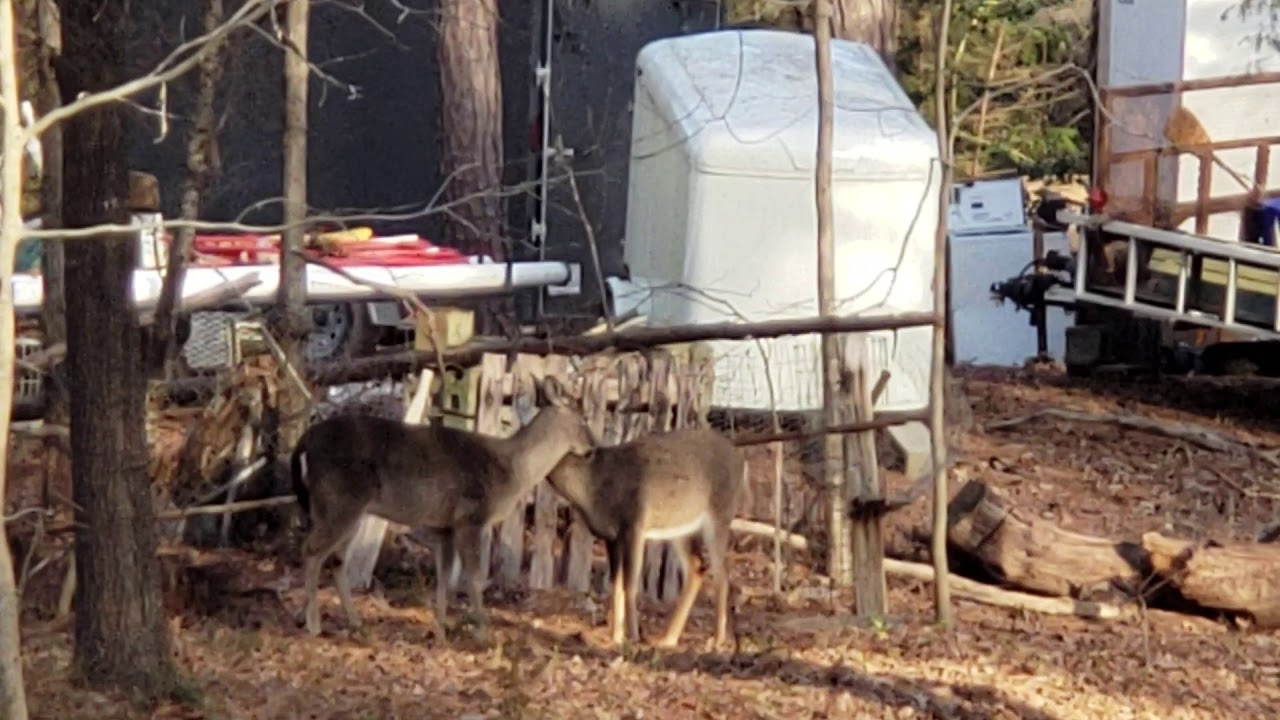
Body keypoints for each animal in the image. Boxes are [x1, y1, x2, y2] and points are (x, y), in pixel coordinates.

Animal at [291, 375, 595, 636]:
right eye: (583, 419)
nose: (592, 448)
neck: (511, 471)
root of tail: (304, 443)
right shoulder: (470, 517)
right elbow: (474, 577)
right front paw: (483, 630)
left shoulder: (444, 525)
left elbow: (444, 576)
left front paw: (441, 627)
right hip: (338, 501)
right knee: (310, 551)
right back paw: (313, 624)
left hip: (349, 510)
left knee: (336, 559)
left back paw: (354, 621)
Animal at [544, 426, 745, 649]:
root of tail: (739, 458)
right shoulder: (611, 537)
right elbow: (616, 584)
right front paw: (616, 637)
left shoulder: (634, 524)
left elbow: (630, 584)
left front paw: (632, 636)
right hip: (680, 527)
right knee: (698, 566)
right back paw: (668, 638)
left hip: (720, 513)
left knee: (722, 574)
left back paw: (717, 640)